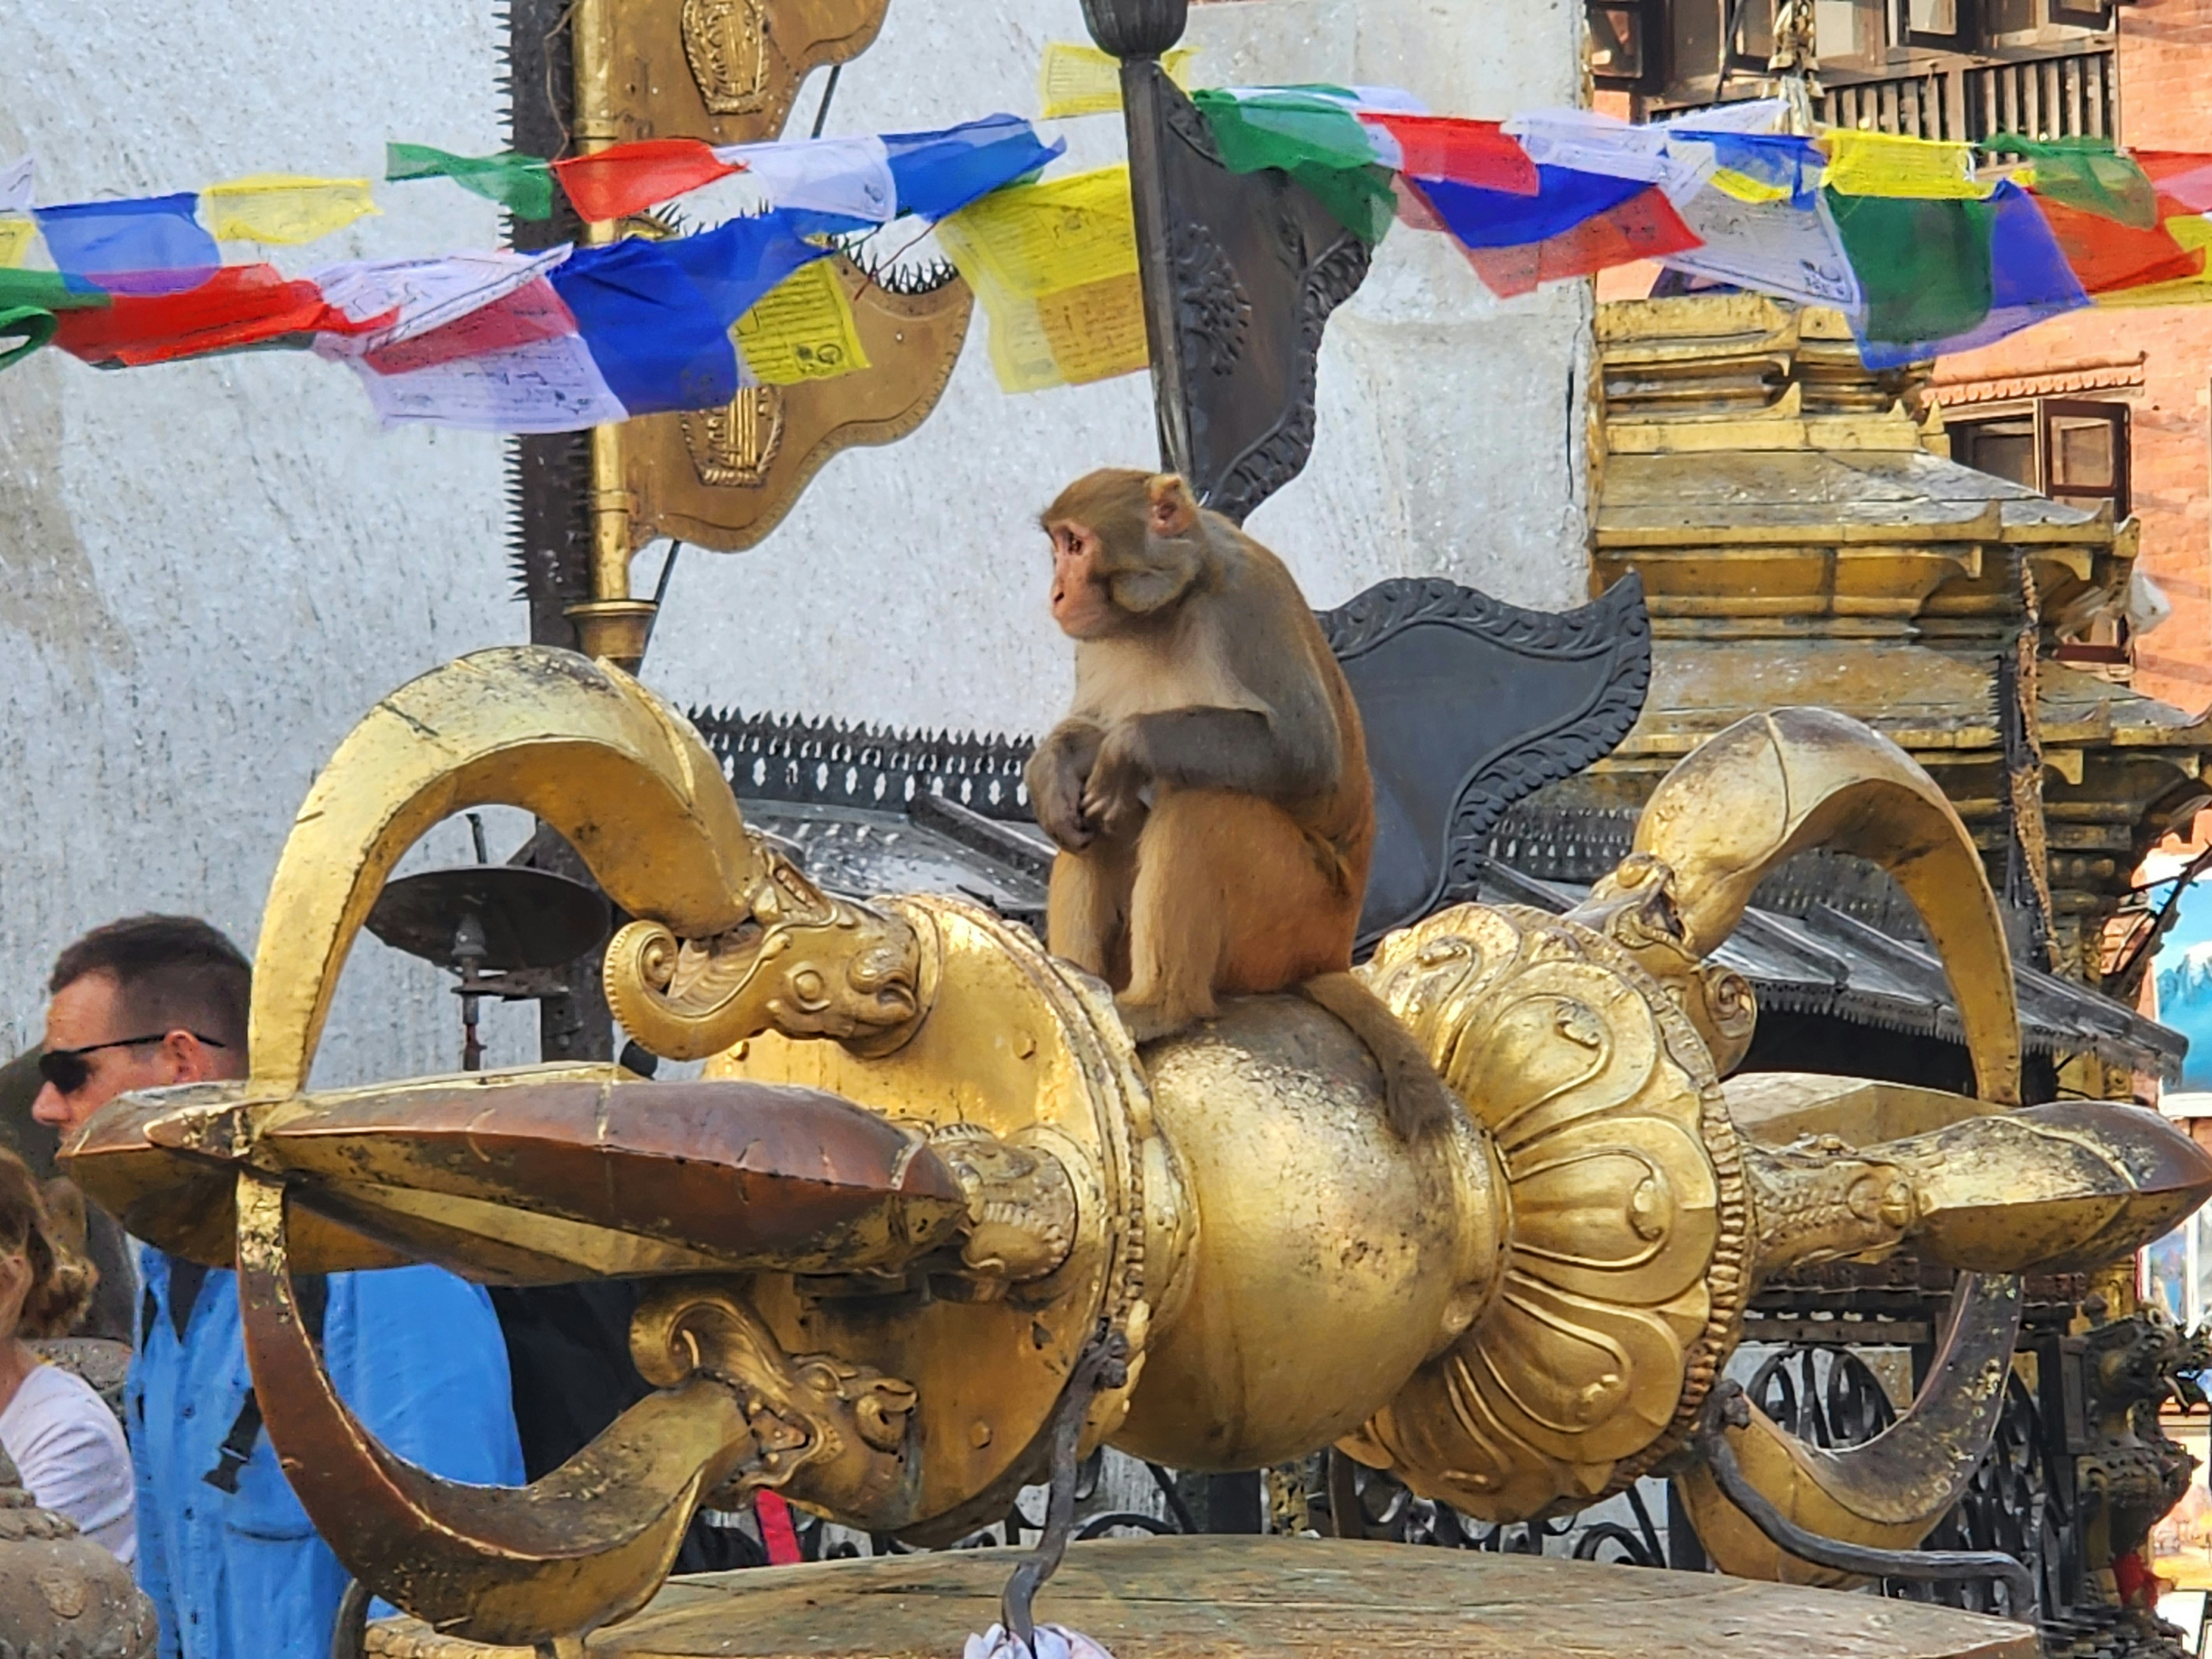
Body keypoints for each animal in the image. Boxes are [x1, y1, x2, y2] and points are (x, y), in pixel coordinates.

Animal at [1023, 468, 1459, 1139]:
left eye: (1076, 545)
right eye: (1058, 546)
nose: (1057, 592)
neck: (1166, 610)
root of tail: (1330, 954)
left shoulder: (1247, 604)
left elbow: (1305, 757)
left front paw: (1128, 747)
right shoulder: (1093, 642)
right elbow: (1085, 745)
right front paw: (1055, 768)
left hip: (1289, 917)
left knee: (1203, 805)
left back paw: (1160, 1005)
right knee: (1100, 823)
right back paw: (1081, 994)